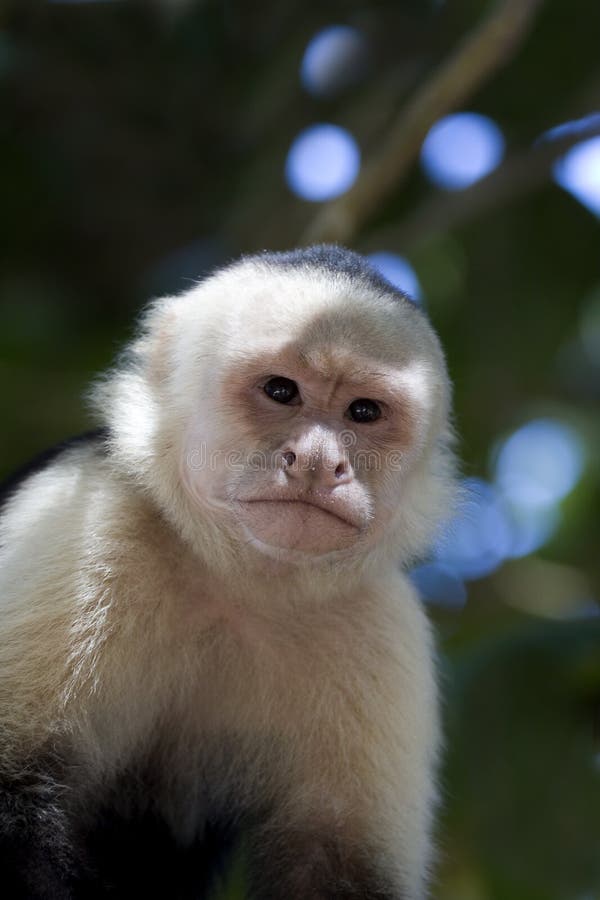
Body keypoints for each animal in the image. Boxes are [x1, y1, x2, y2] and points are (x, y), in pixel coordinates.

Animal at [0, 245, 456, 899]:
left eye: (364, 411)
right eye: (281, 390)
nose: (318, 462)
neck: (236, 582)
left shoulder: (381, 622)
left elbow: (338, 871)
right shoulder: (81, 517)